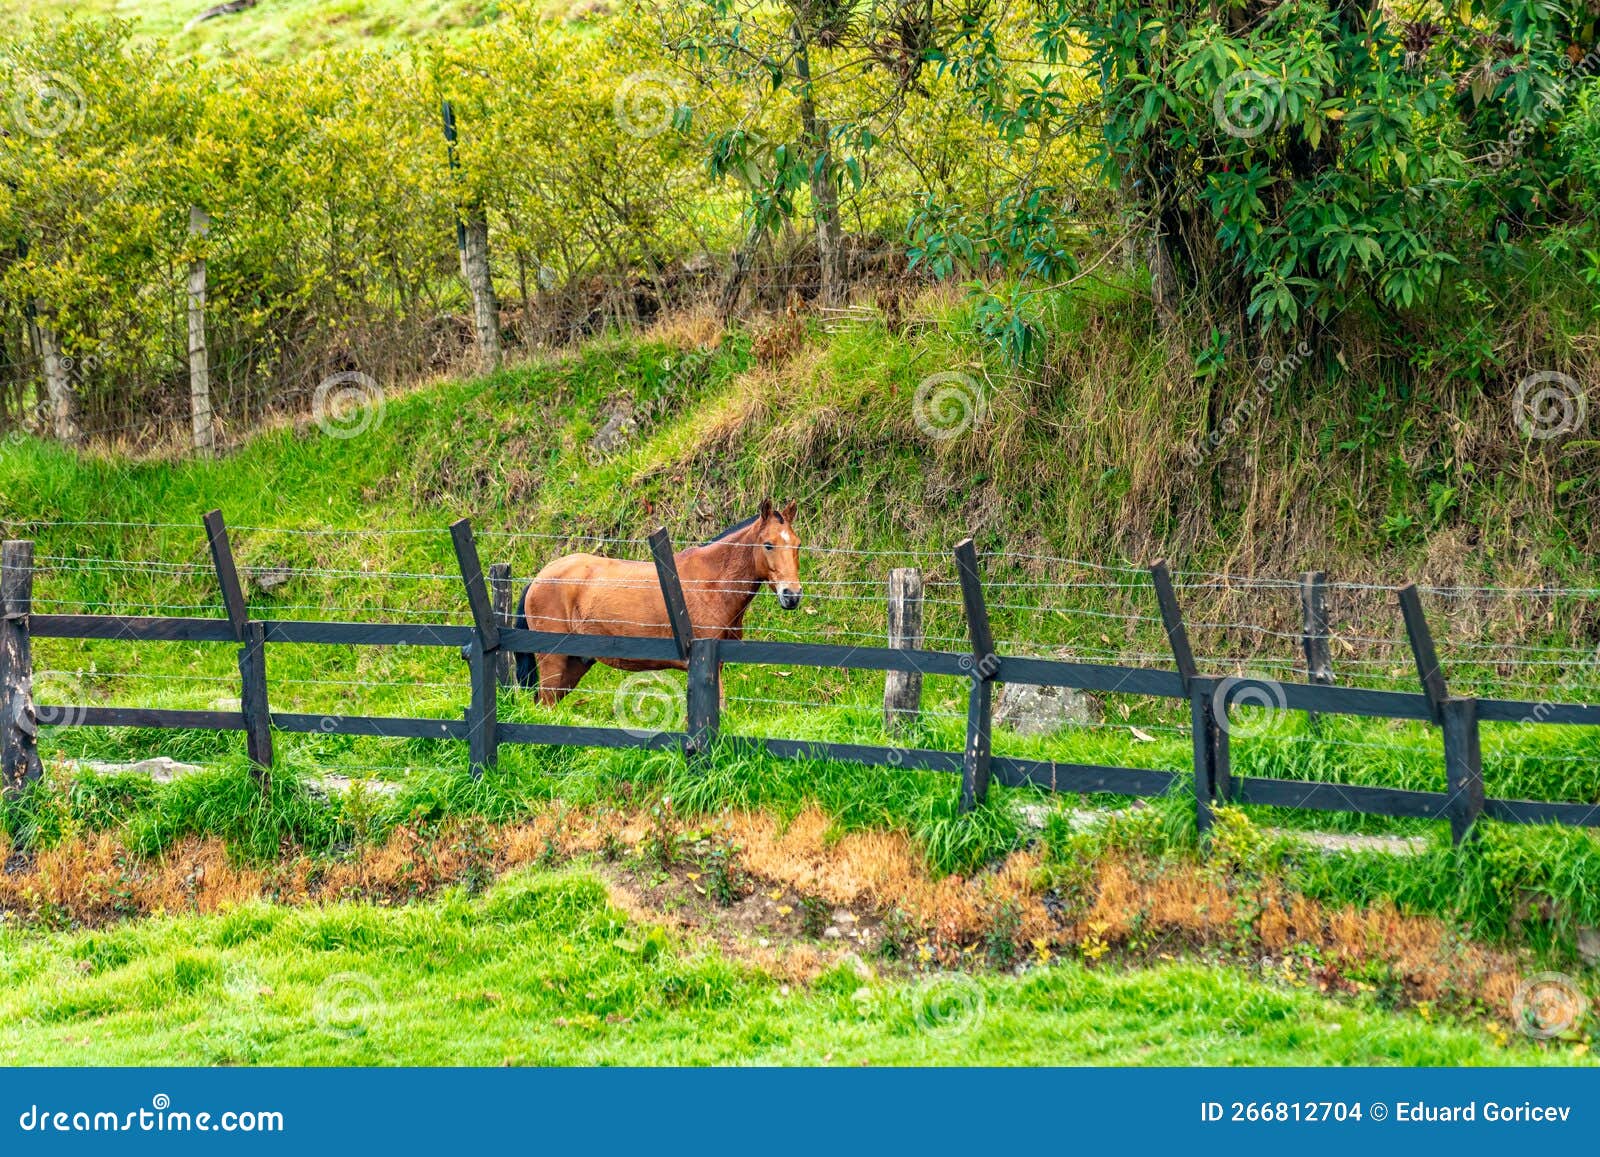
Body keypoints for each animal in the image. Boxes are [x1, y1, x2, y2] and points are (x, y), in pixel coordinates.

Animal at [514, 498, 802, 704]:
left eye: (798, 545)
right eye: (768, 544)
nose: (792, 595)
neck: (710, 584)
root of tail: (539, 578)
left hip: (573, 666)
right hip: (554, 663)